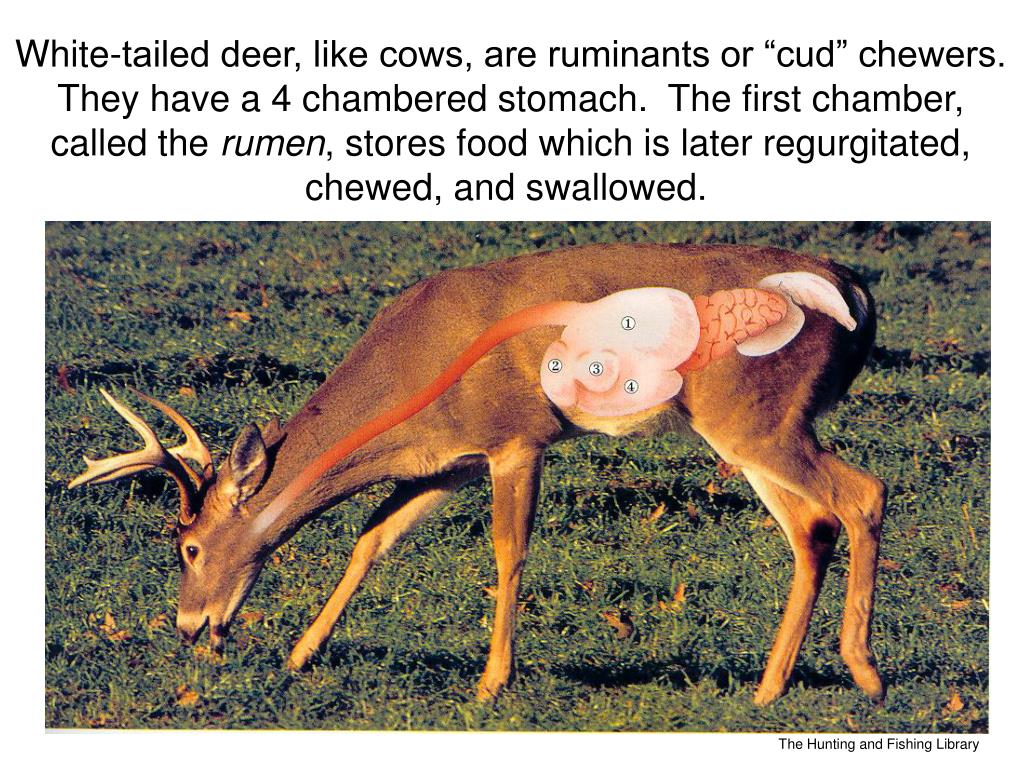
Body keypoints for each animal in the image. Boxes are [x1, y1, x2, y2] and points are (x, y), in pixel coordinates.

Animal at [68, 243, 885, 706]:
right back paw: (770, 687)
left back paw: (864, 672)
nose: (189, 626)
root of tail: (853, 291)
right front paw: (302, 653)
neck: (415, 371)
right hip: (756, 431)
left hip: (757, 417)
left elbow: (508, 550)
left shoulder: (515, 438)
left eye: (188, 546)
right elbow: (371, 537)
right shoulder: (446, 463)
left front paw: (494, 682)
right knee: (813, 526)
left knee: (863, 494)